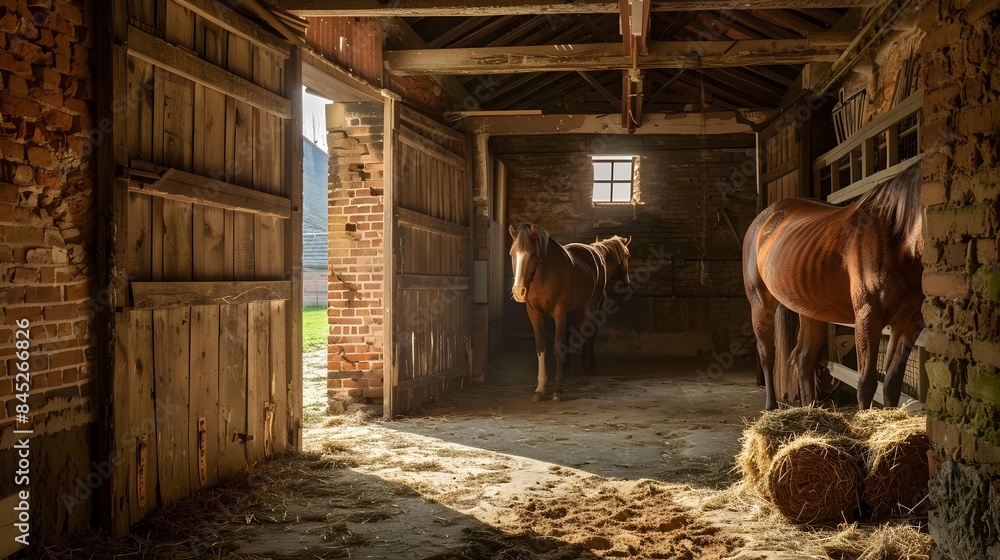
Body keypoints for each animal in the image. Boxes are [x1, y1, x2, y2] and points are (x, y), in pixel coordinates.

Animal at [509, 223, 607, 401]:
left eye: (534, 254)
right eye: (512, 254)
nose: (519, 291)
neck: (543, 276)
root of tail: (594, 252)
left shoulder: (559, 312)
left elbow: (557, 345)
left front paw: (558, 390)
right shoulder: (534, 313)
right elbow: (541, 346)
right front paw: (540, 389)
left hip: (591, 304)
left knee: (588, 335)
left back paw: (586, 373)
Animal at [742, 161, 923, 410]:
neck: (896, 234)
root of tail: (764, 219)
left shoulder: (907, 323)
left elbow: (891, 385)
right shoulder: (868, 317)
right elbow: (866, 384)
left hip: (809, 310)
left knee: (803, 357)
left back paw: (810, 408)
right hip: (760, 303)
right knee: (767, 354)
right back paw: (771, 408)